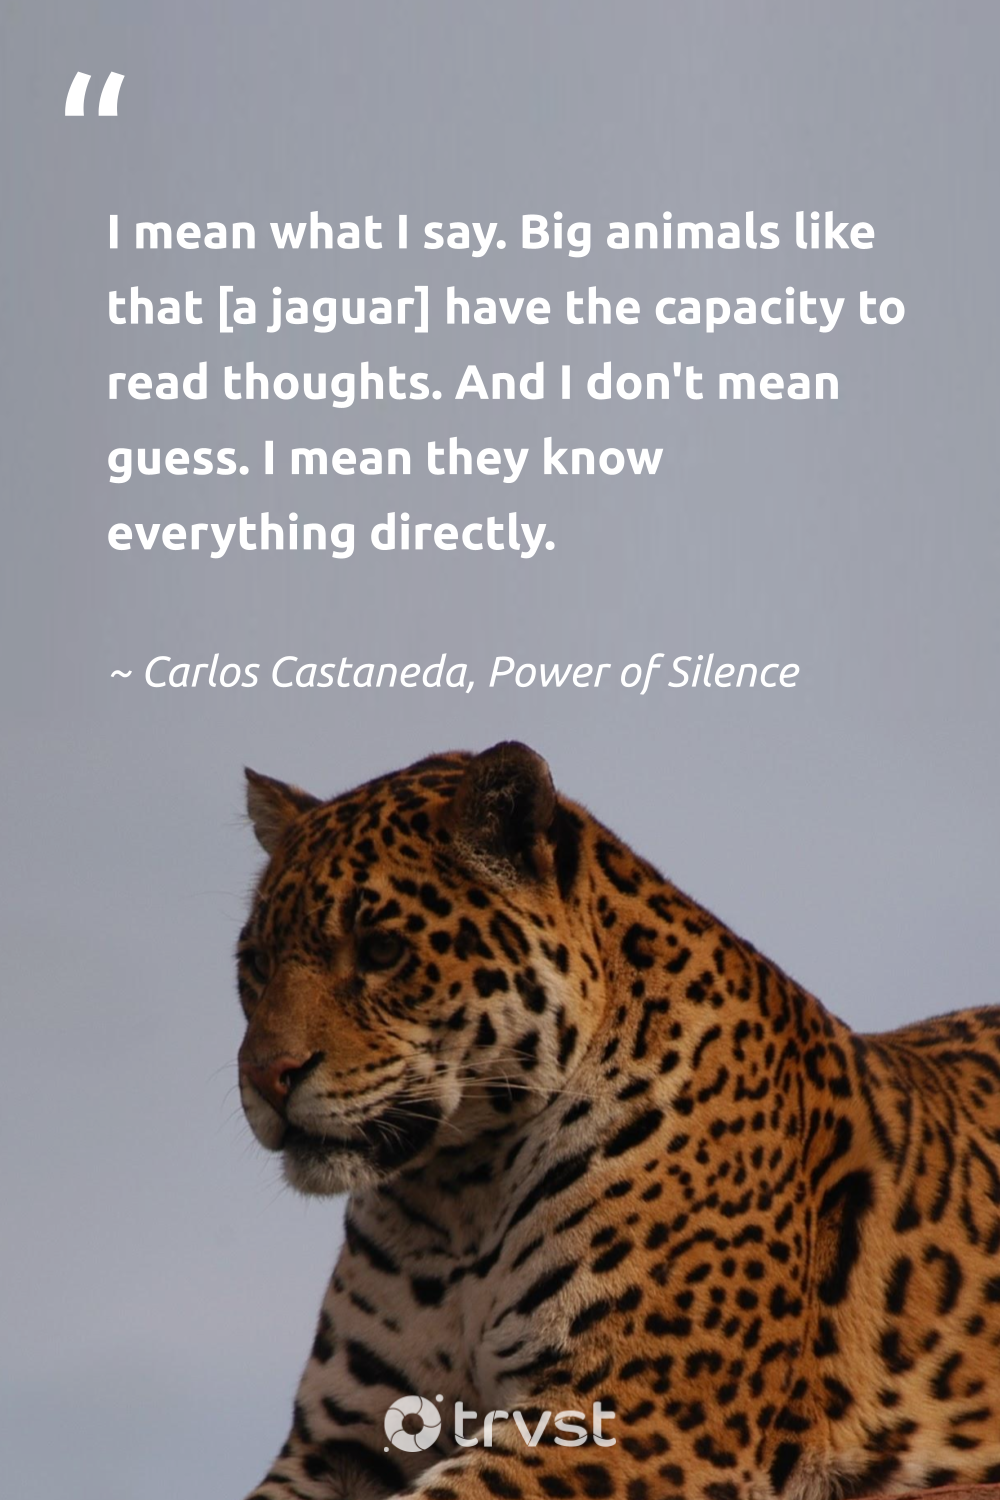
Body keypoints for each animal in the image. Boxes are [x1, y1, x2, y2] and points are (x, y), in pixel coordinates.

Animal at [234, 741, 1000, 1500]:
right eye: (255, 964)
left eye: (381, 950)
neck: (458, 1197)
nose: (266, 1077)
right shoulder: (337, 1440)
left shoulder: (633, 1422)